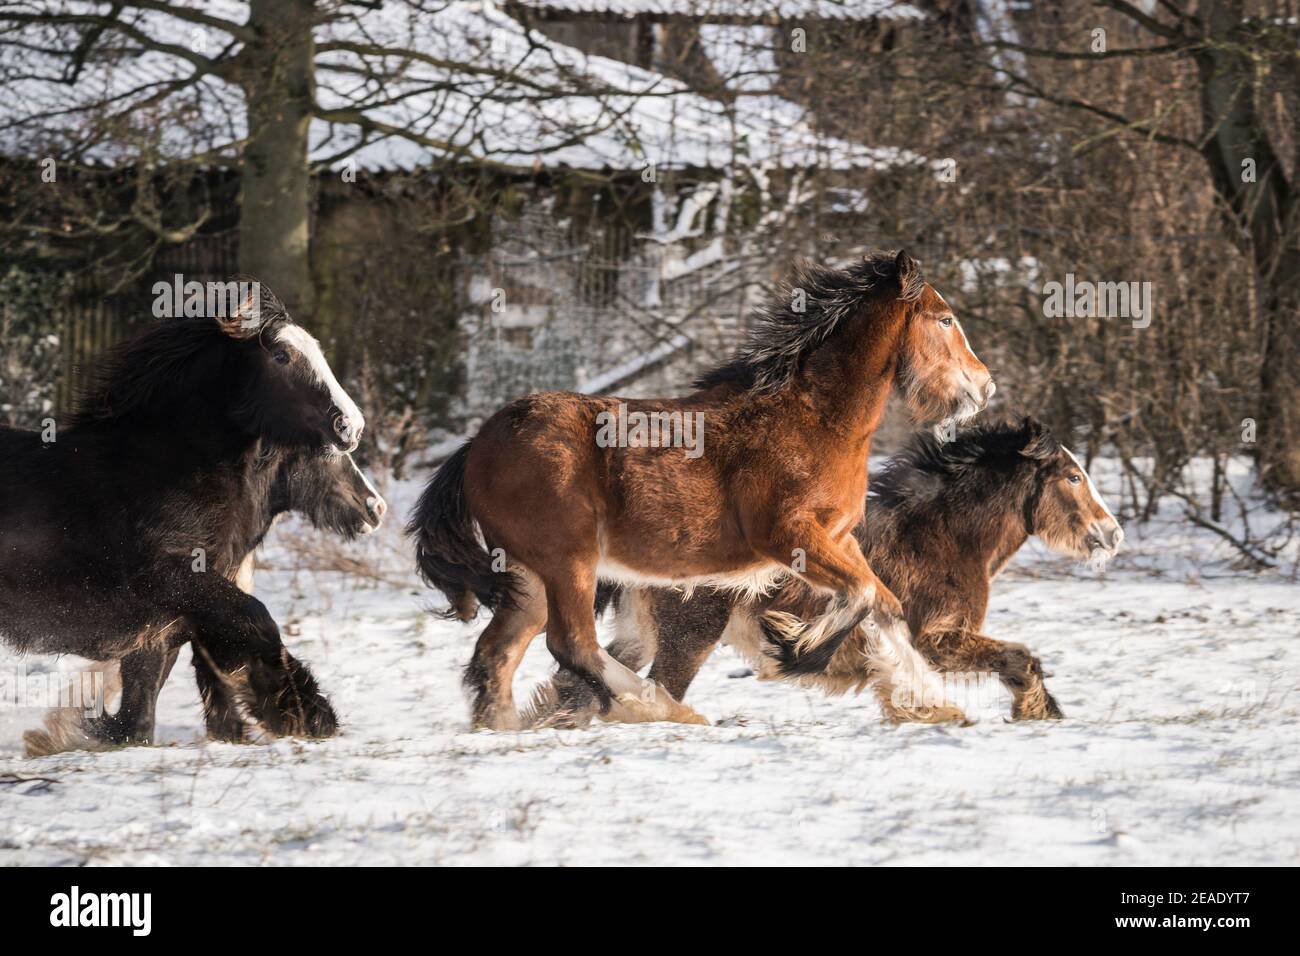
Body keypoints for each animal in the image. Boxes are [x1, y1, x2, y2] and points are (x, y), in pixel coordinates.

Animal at [410, 251, 987, 728]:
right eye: (945, 319)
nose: (984, 386)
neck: (814, 418)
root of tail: (476, 446)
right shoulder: (788, 538)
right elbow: (863, 596)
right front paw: (794, 647)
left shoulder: (839, 538)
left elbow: (885, 605)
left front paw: (933, 704)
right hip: (567, 562)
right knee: (573, 644)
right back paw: (661, 708)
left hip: (528, 577)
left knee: (497, 654)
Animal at [533, 418, 1123, 723]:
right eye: (1073, 476)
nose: (1113, 533)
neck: (942, 534)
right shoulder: (937, 638)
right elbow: (1020, 657)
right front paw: (1036, 711)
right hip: (689, 636)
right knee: (653, 692)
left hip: (638, 634)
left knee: (578, 683)